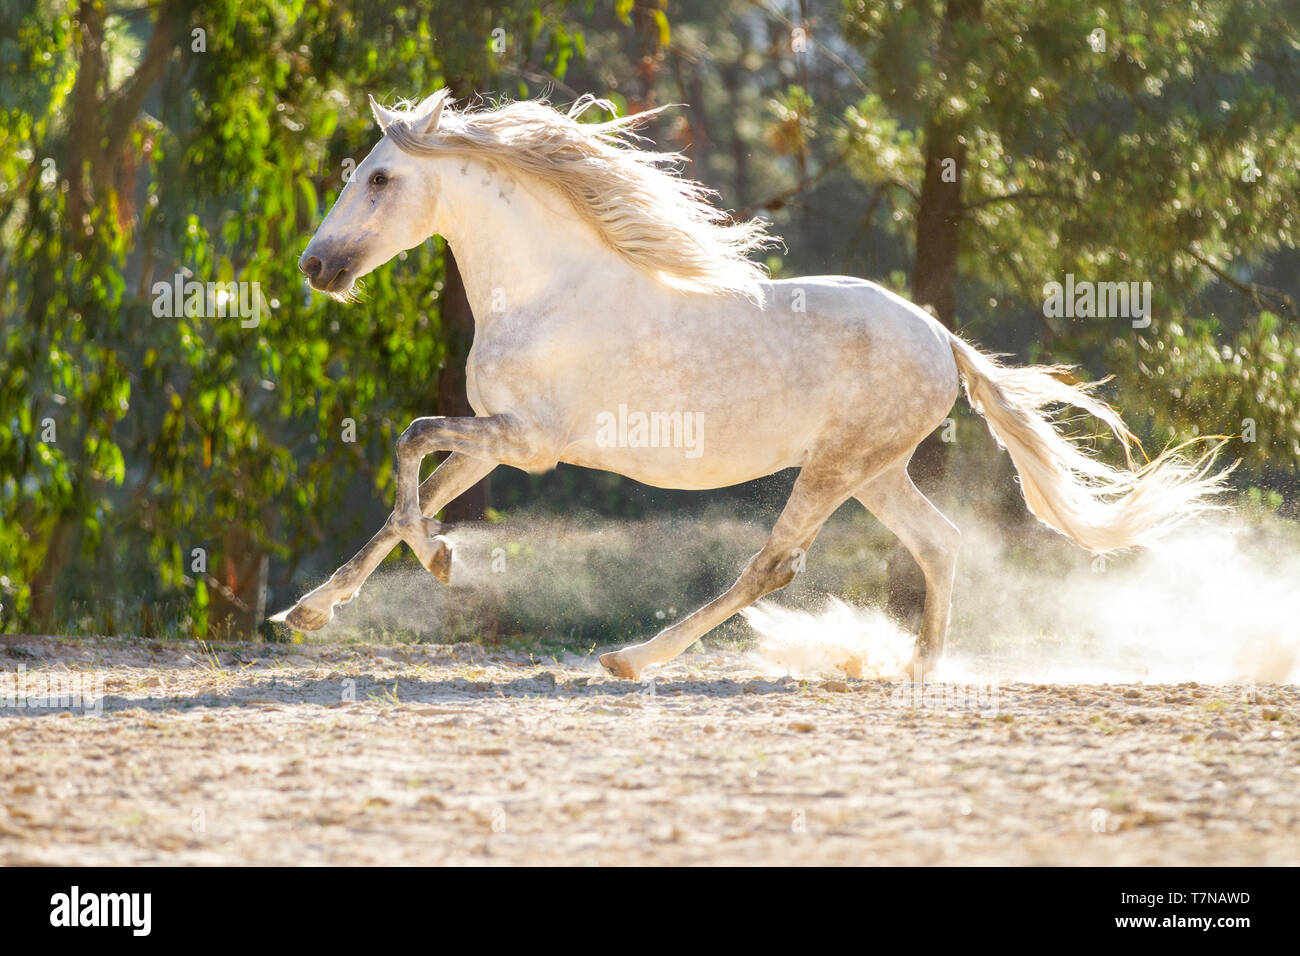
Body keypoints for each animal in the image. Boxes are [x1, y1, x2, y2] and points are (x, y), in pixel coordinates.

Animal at [273, 90, 1225, 681]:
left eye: (380, 177)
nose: (315, 267)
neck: (550, 289)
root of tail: (942, 340)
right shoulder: (496, 434)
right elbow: (408, 495)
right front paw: (312, 612)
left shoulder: (530, 443)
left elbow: (408, 447)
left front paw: (438, 559)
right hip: (875, 471)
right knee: (940, 543)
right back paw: (916, 668)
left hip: (836, 469)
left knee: (775, 562)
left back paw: (636, 659)